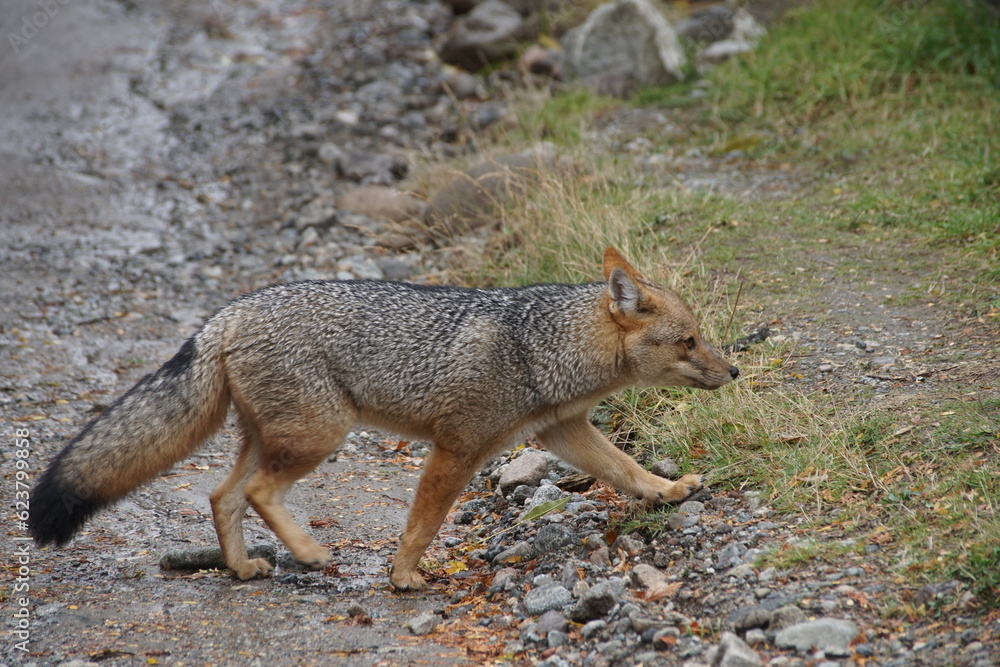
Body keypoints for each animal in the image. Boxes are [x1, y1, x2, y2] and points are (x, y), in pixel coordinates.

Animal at [29, 247, 738, 590]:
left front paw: (671, 490)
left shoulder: (561, 430)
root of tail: (226, 315)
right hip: (319, 437)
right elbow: (421, 525)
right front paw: (402, 578)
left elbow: (627, 470)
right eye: (688, 343)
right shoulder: (457, 449)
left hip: (278, 438)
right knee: (255, 494)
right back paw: (310, 553)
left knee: (221, 495)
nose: (733, 371)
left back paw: (243, 568)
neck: (538, 347)